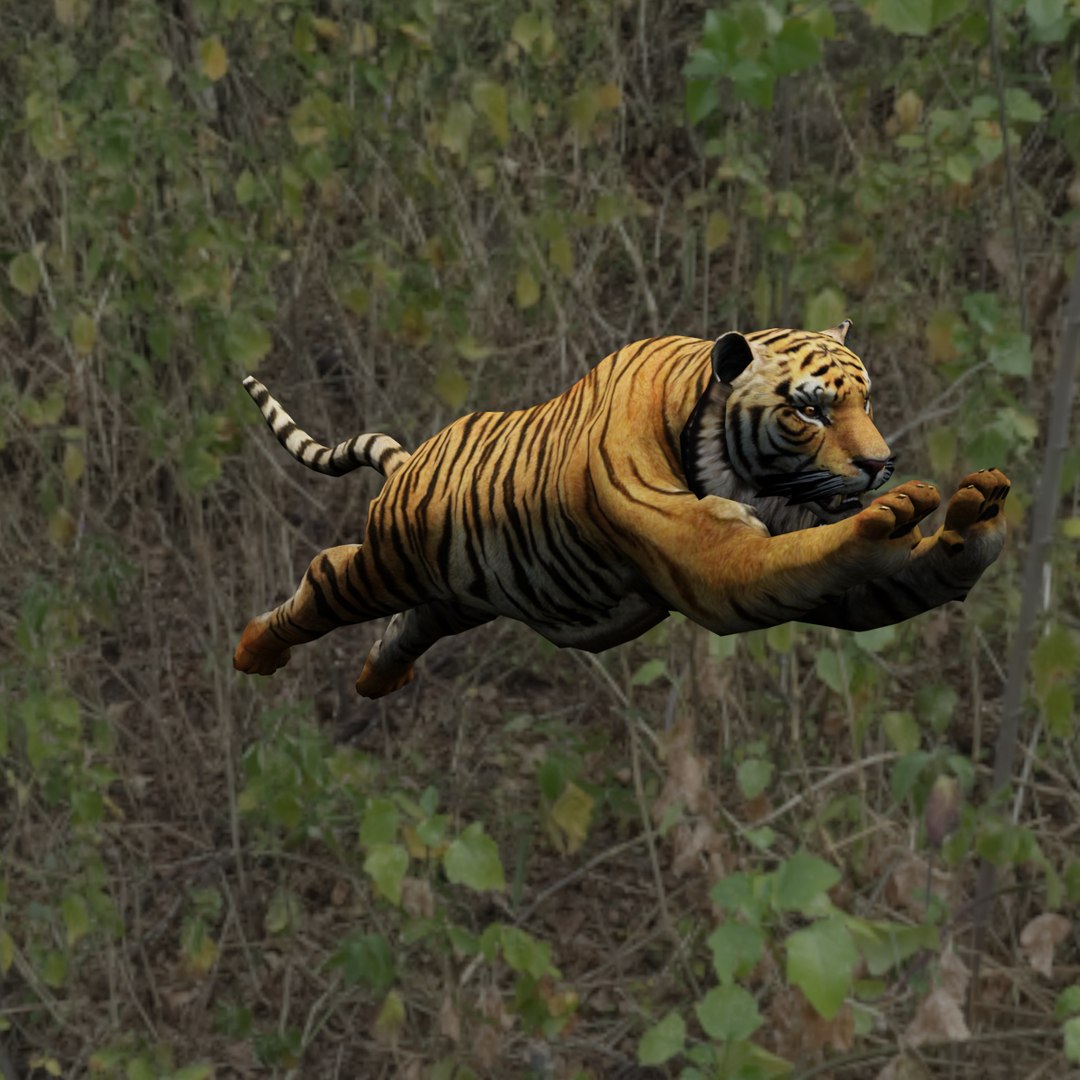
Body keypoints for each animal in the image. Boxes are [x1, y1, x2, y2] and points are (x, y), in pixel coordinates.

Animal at [233, 322, 1010, 698]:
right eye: (810, 409)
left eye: (866, 400)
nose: (882, 465)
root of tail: (410, 460)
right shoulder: (711, 557)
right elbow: (812, 555)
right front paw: (889, 519)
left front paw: (972, 522)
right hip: (393, 558)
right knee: (329, 571)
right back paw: (253, 650)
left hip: (461, 594)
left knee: (409, 624)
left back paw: (376, 681)